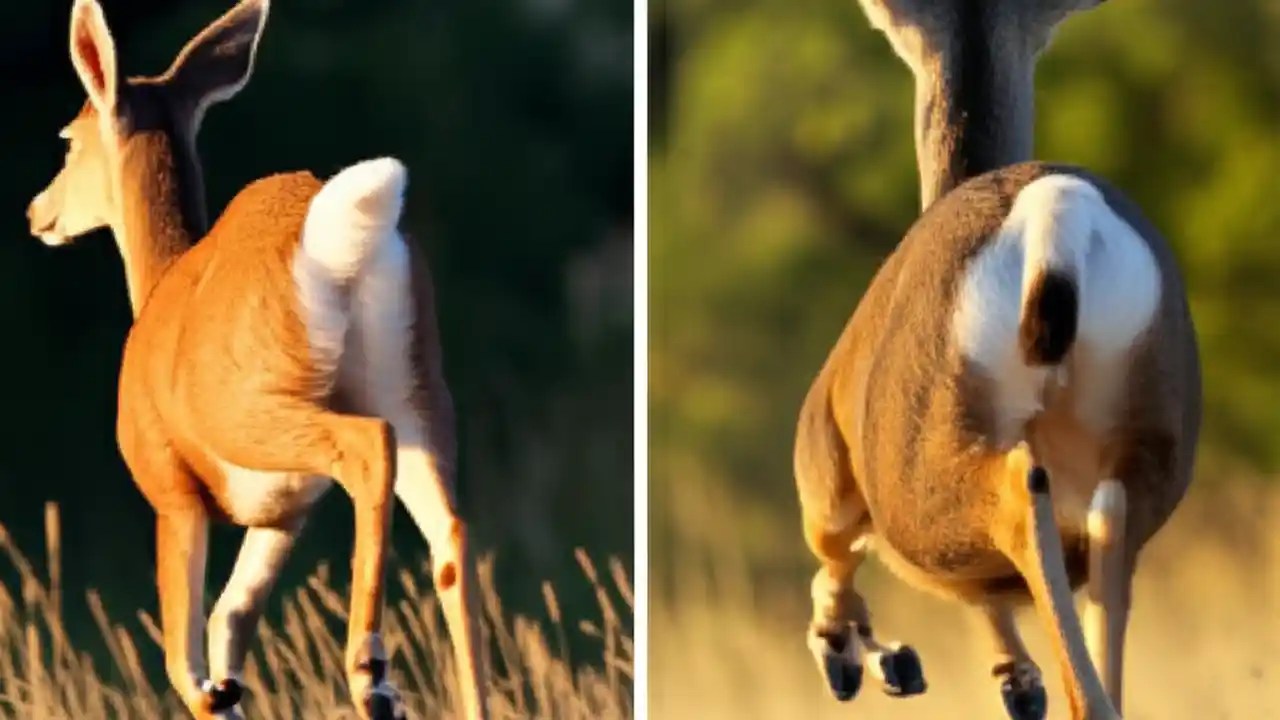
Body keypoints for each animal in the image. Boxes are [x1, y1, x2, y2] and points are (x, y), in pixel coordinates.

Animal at [25, 1, 487, 718]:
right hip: (417, 390)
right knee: (451, 534)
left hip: (255, 411)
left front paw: (221, 693)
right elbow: (229, 621)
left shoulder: (171, 491)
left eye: (69, 140)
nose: (37, 211)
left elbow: (186, 663)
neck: (159, 286)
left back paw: (371, 674)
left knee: (367, 447)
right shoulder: (281, 513)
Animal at [793, 2, 1200, 719]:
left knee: (1018, 499)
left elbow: (837, 568)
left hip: (946, 476)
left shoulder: (829, 494)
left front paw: (863, 656)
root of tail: (1055, 214)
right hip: (1139, 466)